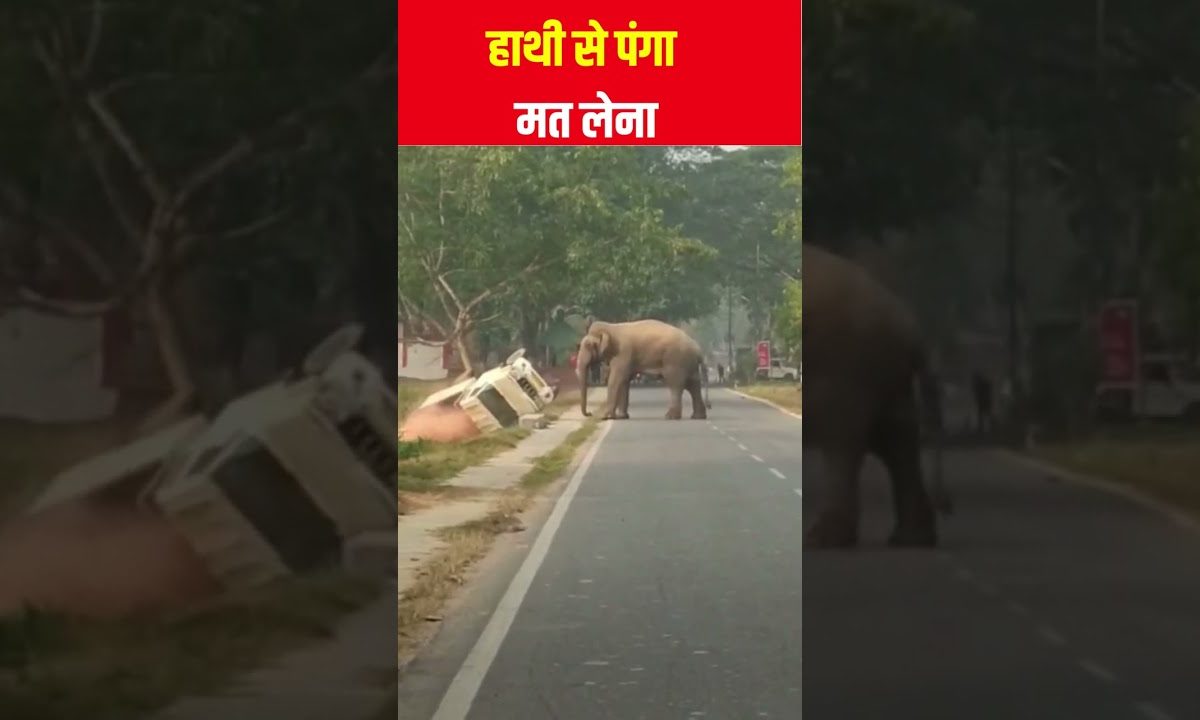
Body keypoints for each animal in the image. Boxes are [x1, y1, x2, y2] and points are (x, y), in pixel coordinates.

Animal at [576, 319, 710, 421]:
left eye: (588, 345)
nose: (590, 414)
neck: (611, 327)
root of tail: (698, 350)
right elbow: (624, 382)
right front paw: (622, 417)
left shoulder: (623, 353)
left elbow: (616, 379)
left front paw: (606, 417)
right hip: (689, 364)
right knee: (693, 385)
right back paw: (698, 417)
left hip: (676, 360)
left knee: (676, 385)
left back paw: (670, 417)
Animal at [803, 244, 952, 549]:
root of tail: (908, 323)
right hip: (883, 372)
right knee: (895, 440)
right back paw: (912, 539)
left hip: (848, 361)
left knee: (843, 440)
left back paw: (823, 539)